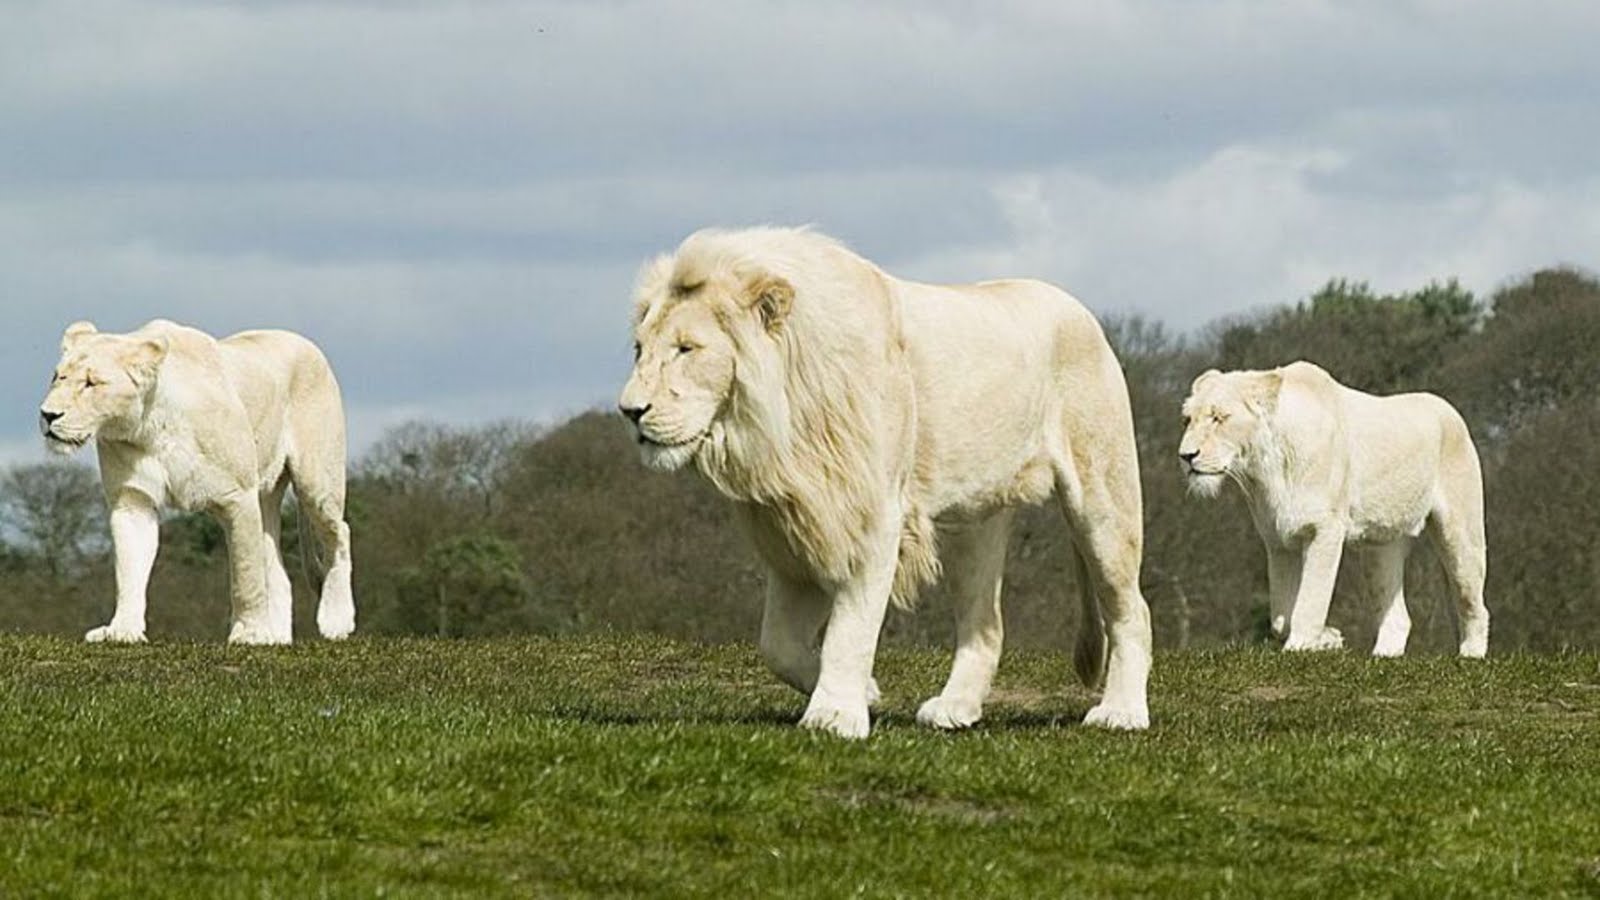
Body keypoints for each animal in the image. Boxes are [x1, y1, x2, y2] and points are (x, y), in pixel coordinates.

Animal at [39, 319, 355, 645]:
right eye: (57, 377)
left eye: (91, 383)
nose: (47, 415)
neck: (149, 426)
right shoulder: (133, 501)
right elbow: (129, 570)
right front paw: (122, 630)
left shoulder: (239, 496)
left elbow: (246, 574)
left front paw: (249, 632)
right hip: (266, 495)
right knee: (277, 567)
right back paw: (276, 637)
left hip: (316, 480)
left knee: (339, 533)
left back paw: (335, 621)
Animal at [619, 227, 1153, 739]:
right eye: (640, 349)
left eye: (687, 349)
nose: (629, 411)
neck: (776, 426)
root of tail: (1081, 312)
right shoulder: (802, 527)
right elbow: (778, 644)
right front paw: (867, 693)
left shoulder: (869, 516)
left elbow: (850, 628)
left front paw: (835, 715)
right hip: (973, 520)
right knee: (985, 624)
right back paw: (955, 709)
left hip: (1102, 496)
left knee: (1131, 610)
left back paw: (1121, 713)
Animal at [1179, 361, 1489, 658]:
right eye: (1188, 419)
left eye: (1219, 417)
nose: (1186, 456)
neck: (1265, 469)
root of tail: (1450, 410)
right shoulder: (1278, 540)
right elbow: (1281, 617)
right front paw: (1329, 639)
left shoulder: (1324, 529)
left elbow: (1310, 600)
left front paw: (1301, 647)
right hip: (1380, 547)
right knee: (1398, 617)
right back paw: (1382, 657)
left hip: (1460, 532)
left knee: (1473, 601)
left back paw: (1470, 655)